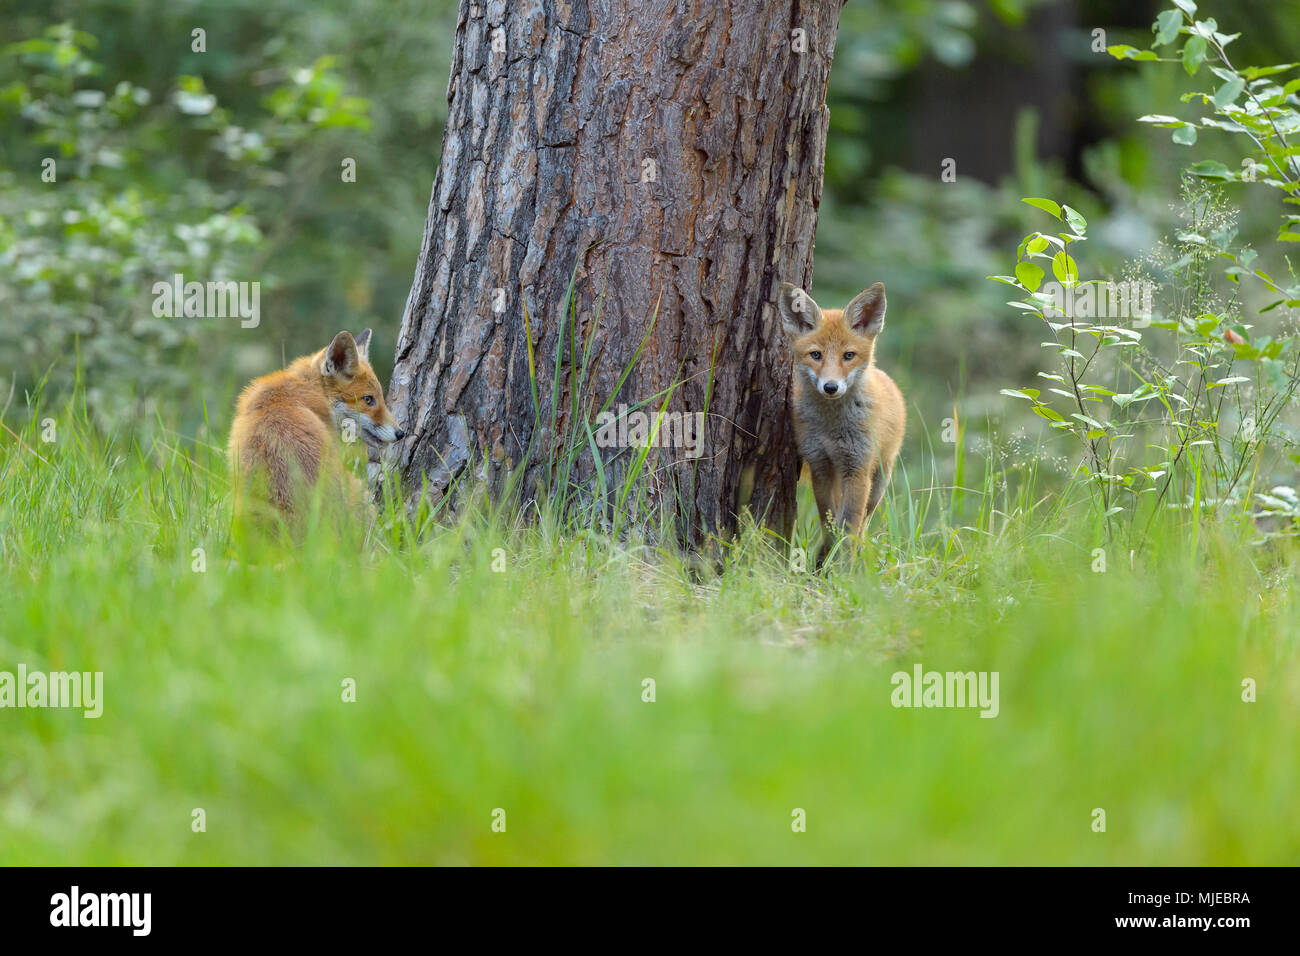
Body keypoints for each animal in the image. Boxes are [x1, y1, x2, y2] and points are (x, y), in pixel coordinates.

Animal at [777, 281, 905, 564]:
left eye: (848, 355)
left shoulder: (857, 468)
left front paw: (843, 568)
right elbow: (830, 524)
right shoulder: (821, 465)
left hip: (878, 483)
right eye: (816, 355)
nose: (831, 387)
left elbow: (849, 529)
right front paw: (828, 562)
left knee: (864, 524)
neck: (832, 428)